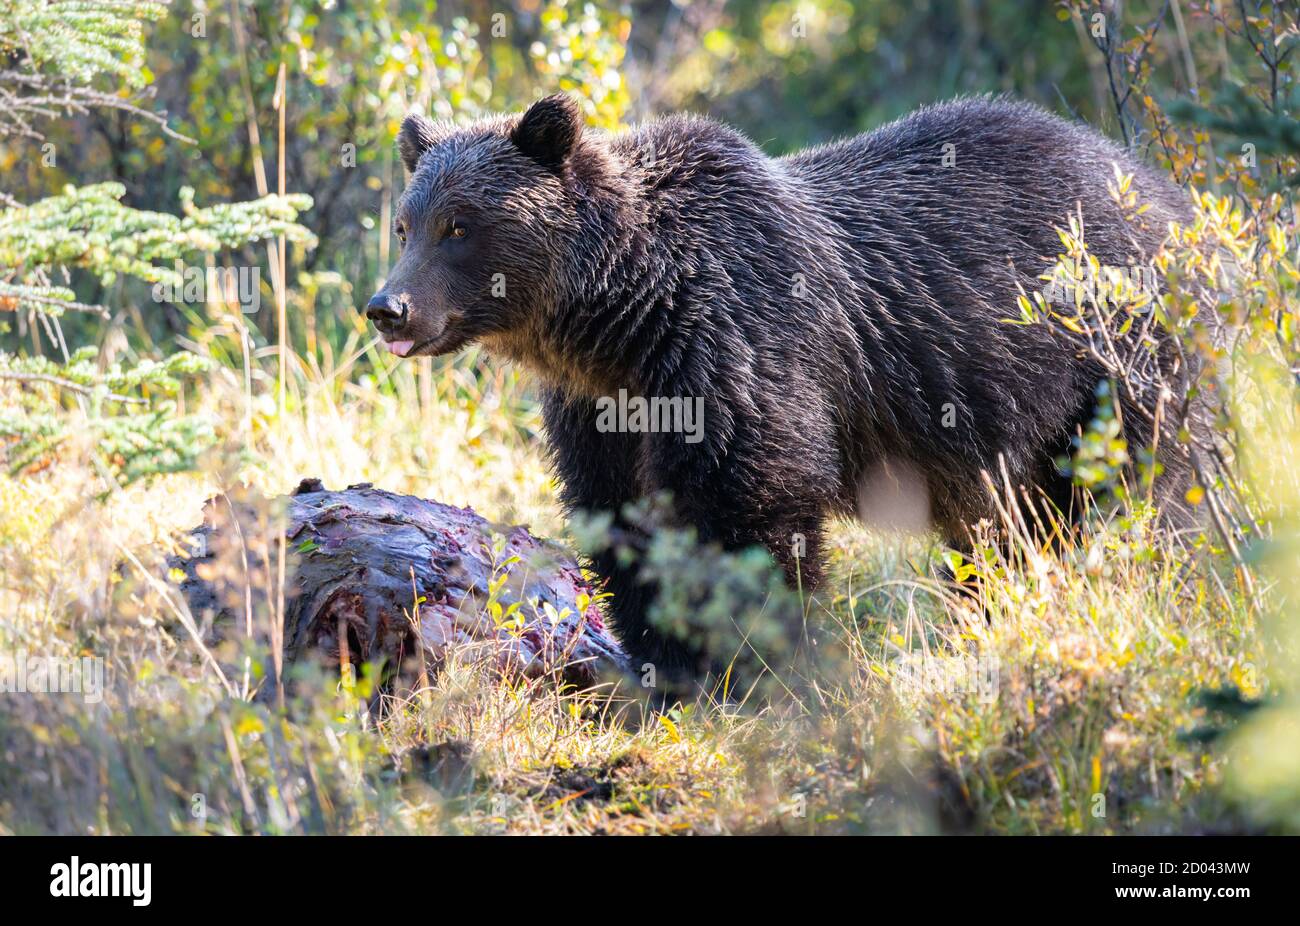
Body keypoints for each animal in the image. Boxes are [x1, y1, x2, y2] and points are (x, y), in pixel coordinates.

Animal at [367, 93, 1196, 682]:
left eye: (460, 225)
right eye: (406, 224)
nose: (387, 307)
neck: (628, 317)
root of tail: (1159, 183)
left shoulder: (742, 345)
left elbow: (754, 506)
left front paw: (756, 664)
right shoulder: (602, 409)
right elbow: (623, 518)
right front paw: (664, 659)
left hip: (1113, 354)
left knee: (1149, 483)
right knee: (1009, 522)